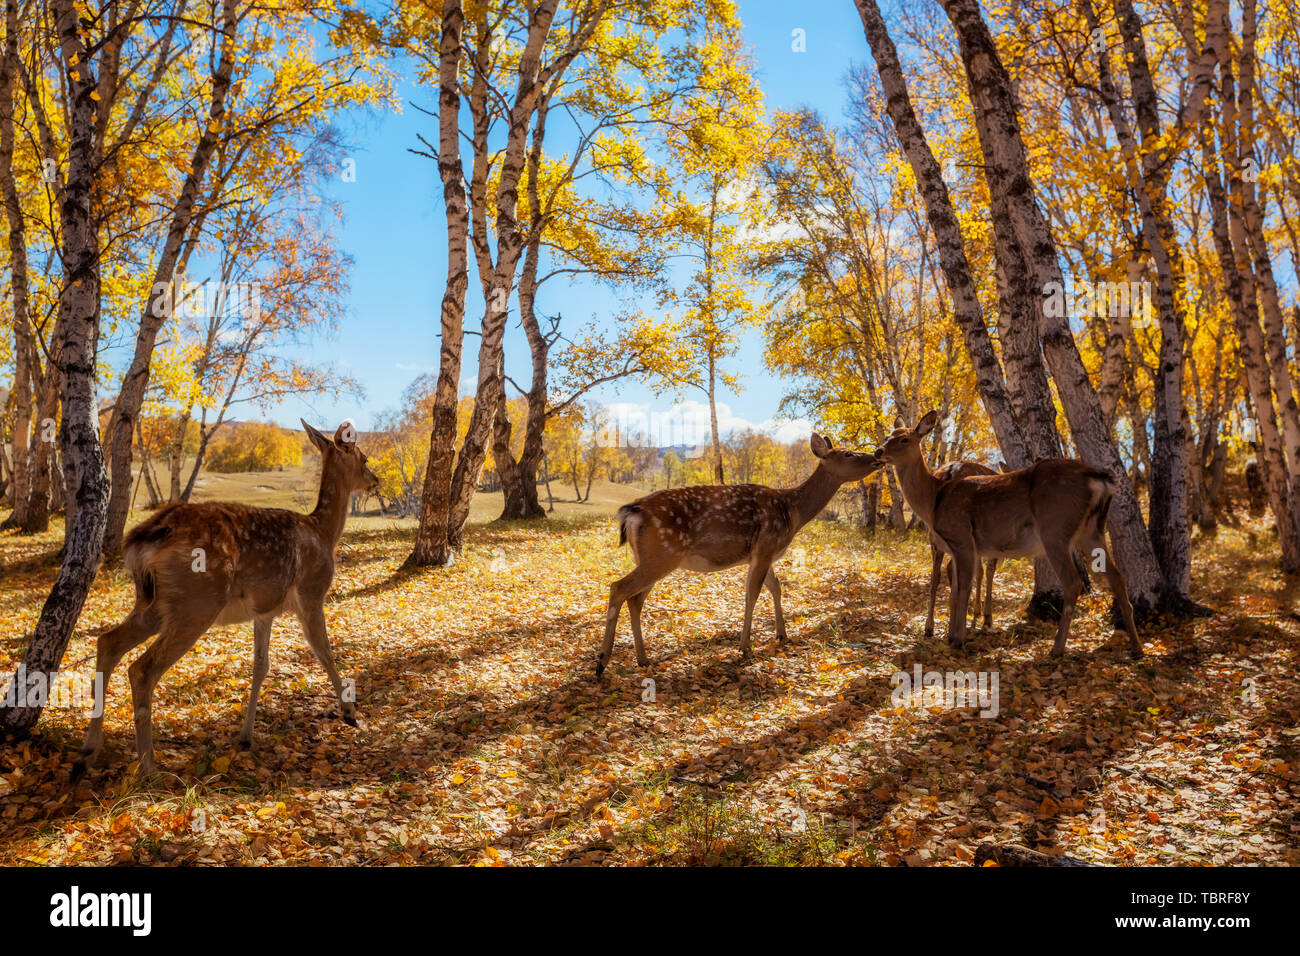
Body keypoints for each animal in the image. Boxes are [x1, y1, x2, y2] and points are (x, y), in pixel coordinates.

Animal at [72, 421, 379, 779]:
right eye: (364, 457)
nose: (375, 479)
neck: (324, 533)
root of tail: (141, 540)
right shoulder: (311, 593)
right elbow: (325, 652)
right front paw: (350, 712)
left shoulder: (264, 610)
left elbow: (261, 665)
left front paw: (245, 736)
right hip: (197, 602)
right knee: (142, 668)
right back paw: (148, 768)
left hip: (154, 603)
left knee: (108, 642)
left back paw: (87, 754)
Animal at [596, 433, 882, 677]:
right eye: (847, 453)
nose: (877, 455)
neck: (793, 512)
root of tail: (630, 512)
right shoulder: (765, 547)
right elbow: (752, 595)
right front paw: (746, 648)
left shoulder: (765, 553)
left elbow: (775, 587)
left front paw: (782, 635)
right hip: (662, 555)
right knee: (618, 587)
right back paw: (602, 662)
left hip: (650, 558)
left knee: (635, 599)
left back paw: (643, 659)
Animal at [875, 411, 1141, 658]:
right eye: (887, 436)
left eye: (905, 439)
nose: (878, 451)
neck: (934, 500)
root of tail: (1099, 480)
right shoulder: (960, 546)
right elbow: (957, 588)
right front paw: (953, 635)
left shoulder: (962, 538)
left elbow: (962, 590)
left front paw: (958, 639)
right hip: (1092, 530)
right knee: (1117, 577)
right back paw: (1136, 648)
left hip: (1055, 528)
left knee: (1073, 581)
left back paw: (1056, 649)